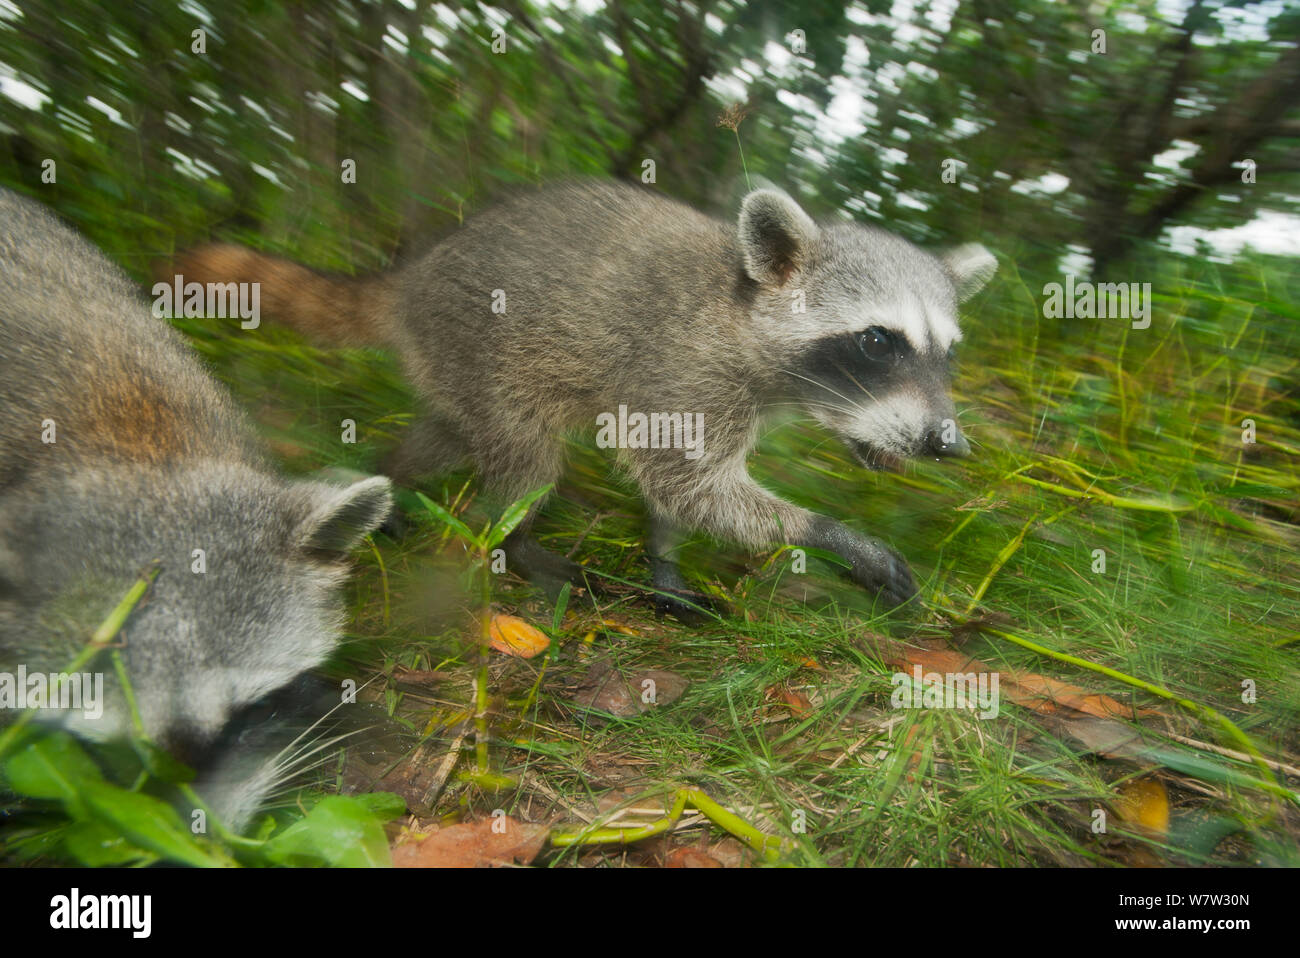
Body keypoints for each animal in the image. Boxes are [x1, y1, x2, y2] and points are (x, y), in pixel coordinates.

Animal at [175, 180, 994, 615]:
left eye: (949, 352)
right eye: (879, 341)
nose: (947, 443)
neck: (739, 304)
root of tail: (414, 274)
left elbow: (677, 492)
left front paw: (663, 560)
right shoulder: (681, 370)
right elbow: (693, 485)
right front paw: (835, 535)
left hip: (454, 364)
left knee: (447, 432)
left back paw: (394, 474)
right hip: (478, 342)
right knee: (527, 465)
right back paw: (510, 542)